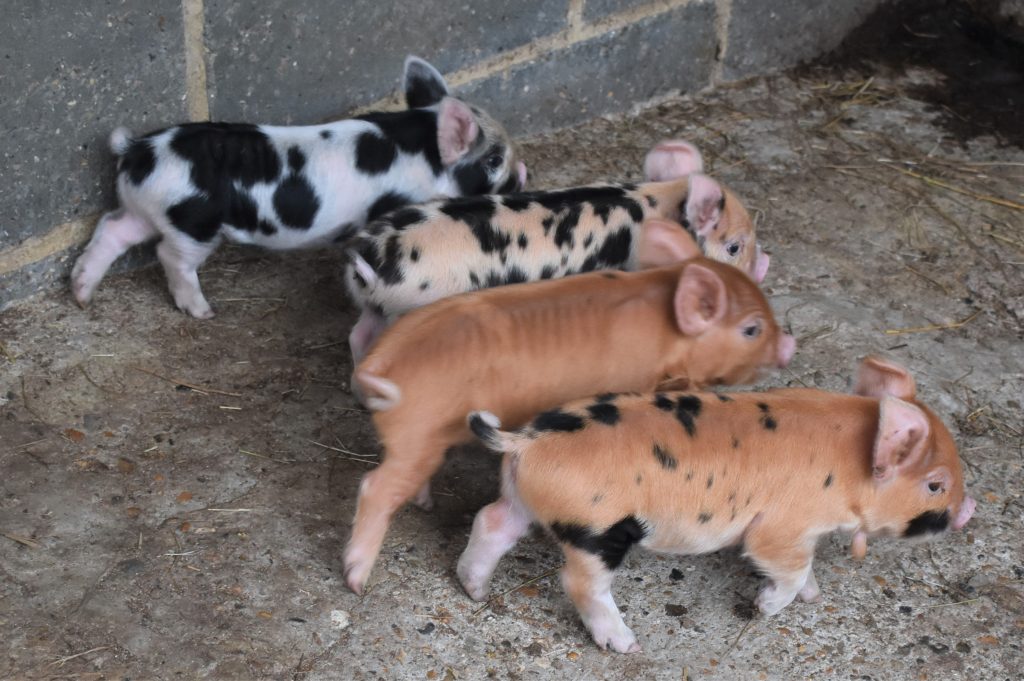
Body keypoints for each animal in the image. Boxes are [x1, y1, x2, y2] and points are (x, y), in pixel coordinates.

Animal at [70, 56, 526, 318]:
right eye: (493, 160)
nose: (522, 170)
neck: (423, 145)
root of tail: (138, 150)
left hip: (143, 211)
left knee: (111, 230)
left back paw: (81, 294)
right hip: (192, 222)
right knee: (170, 256)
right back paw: (203, 312)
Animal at [343, 139, 769, 363]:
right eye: (734, 246)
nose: (764, 264)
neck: (656, 202)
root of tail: (371, 257)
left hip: (376, 307)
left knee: (358, 337)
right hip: (411, 308)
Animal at [343, 256, 796, 594]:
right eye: (751, 329)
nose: (789, 345)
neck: (665, 324)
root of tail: (378, 365)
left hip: (420, 443)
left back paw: (424, 505)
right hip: (416, 437)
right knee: (375, 486)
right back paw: (356, 579)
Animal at [457, 356, 976, 653]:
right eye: (935, 485)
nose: (967, 510)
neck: (848, 465)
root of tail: (524, 440)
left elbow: (805, 567)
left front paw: (813, 597)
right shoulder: (784, 525)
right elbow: (783, 563)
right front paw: (767, 607)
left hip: (523, 498)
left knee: (491, 522)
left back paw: (474, 591)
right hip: (600, 528)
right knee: (579, 582)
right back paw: (626, 645)